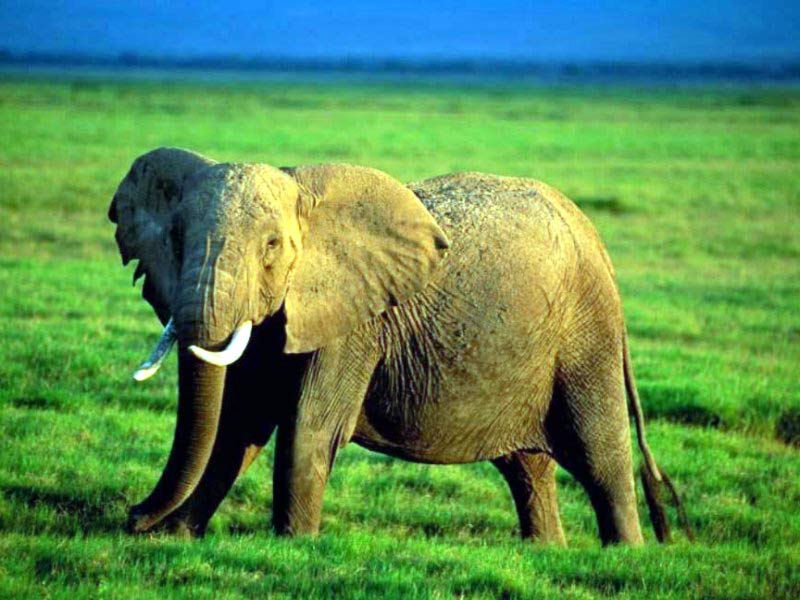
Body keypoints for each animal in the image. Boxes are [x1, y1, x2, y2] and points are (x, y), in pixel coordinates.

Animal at [108, 147, 690, 546]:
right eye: (175, 238)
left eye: (272, 247)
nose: (134, 517)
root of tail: (595, 238)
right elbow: (240, 423)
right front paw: (178, 536)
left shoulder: (353, 321)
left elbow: (307, 426)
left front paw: (293, 544)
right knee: (527, 467)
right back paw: (546, 551)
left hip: (586, 335)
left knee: (600, 454)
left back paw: (626, 553)